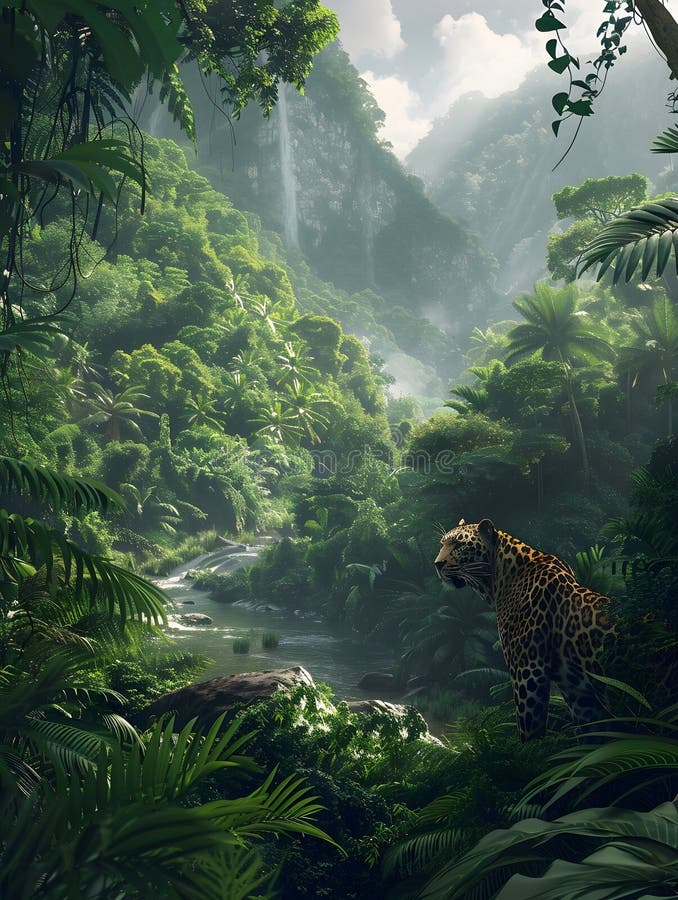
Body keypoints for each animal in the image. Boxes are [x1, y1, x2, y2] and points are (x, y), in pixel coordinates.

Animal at [434, 518, 615, 741]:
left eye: (459, 544)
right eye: (442, 543)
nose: (437, 564)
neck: (499, 580)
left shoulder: (528, 674)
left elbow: (529, 733)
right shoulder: (580, 696)